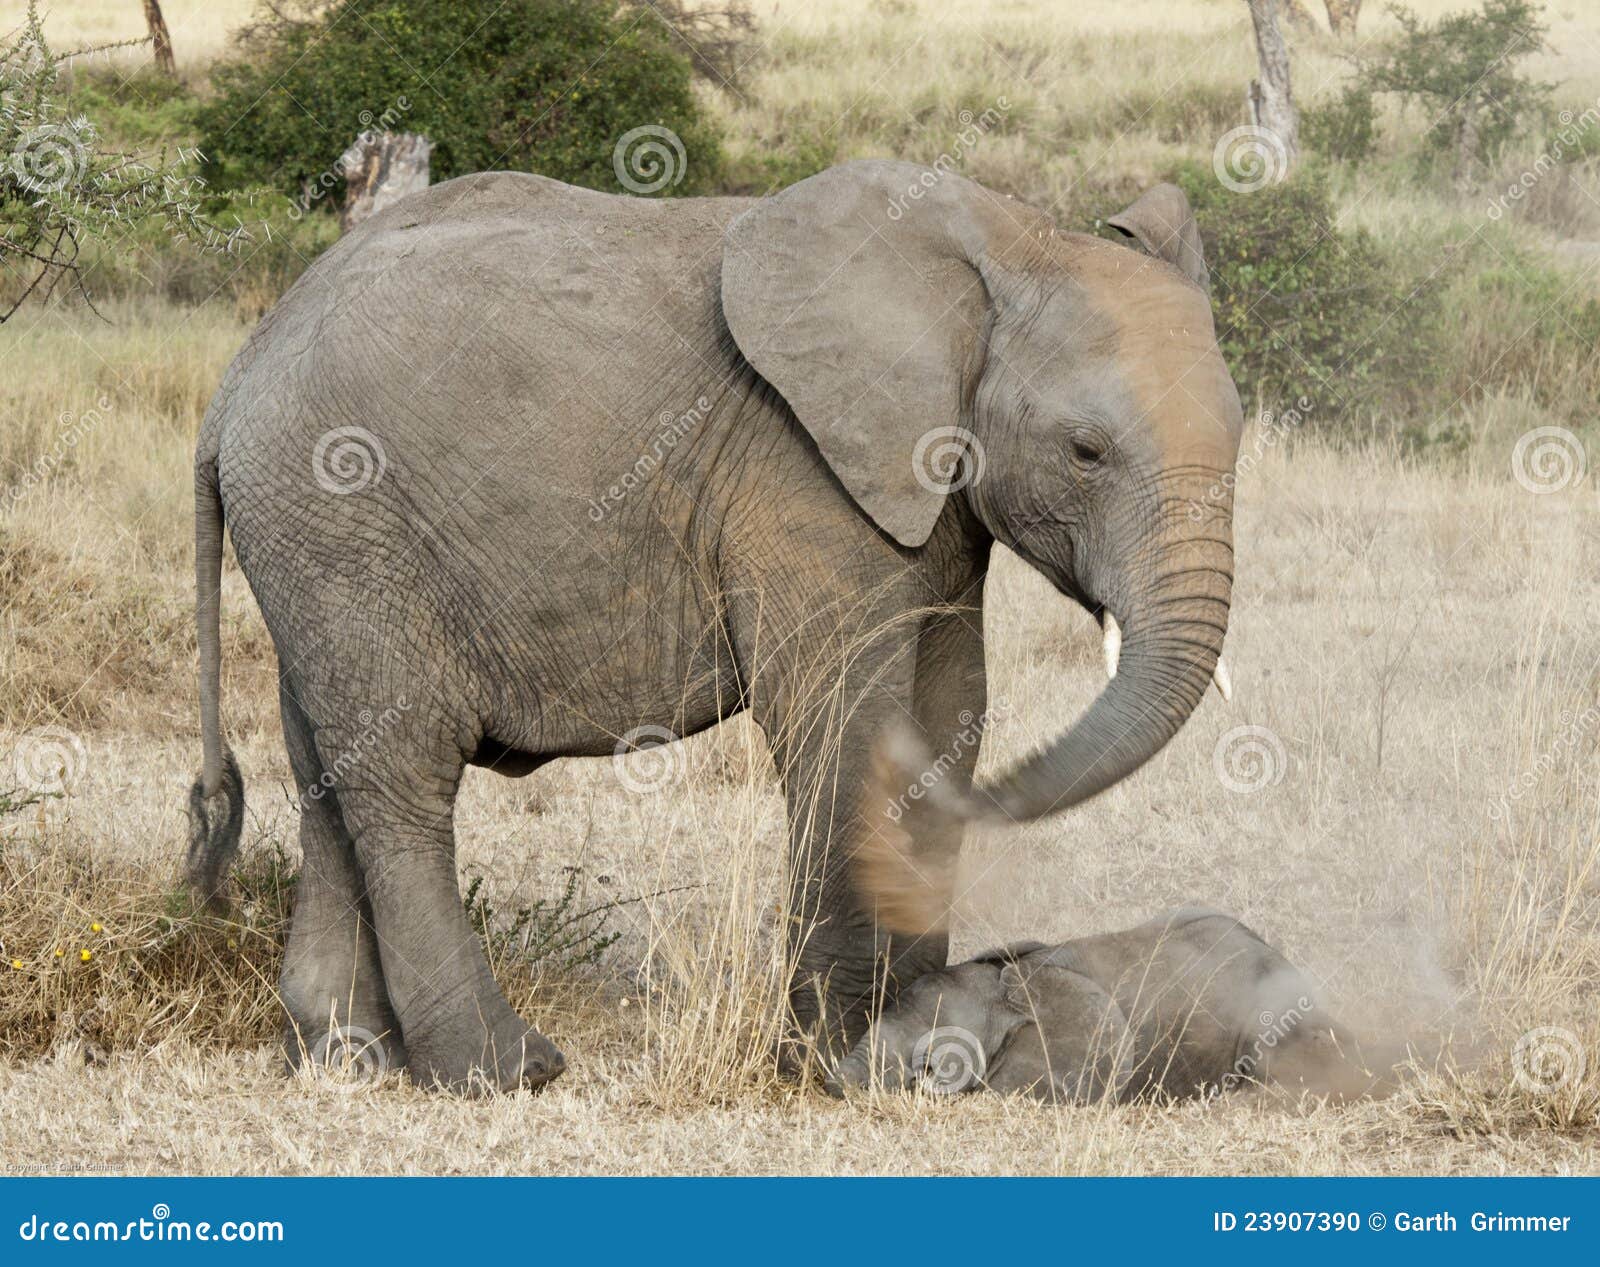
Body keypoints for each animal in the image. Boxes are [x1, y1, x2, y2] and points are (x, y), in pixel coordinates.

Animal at [184, 158, 1244, 1094]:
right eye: (1087, 451)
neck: (1003, 245)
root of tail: (235, 378)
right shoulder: (800, 475)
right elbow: (839, 713)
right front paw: (826, 1059)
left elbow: (953, 708)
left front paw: (904, 1024)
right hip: (344, 521)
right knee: (403, 773)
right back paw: (502, 1070)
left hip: (313, 548)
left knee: (327, 768)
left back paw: (344, 1053)